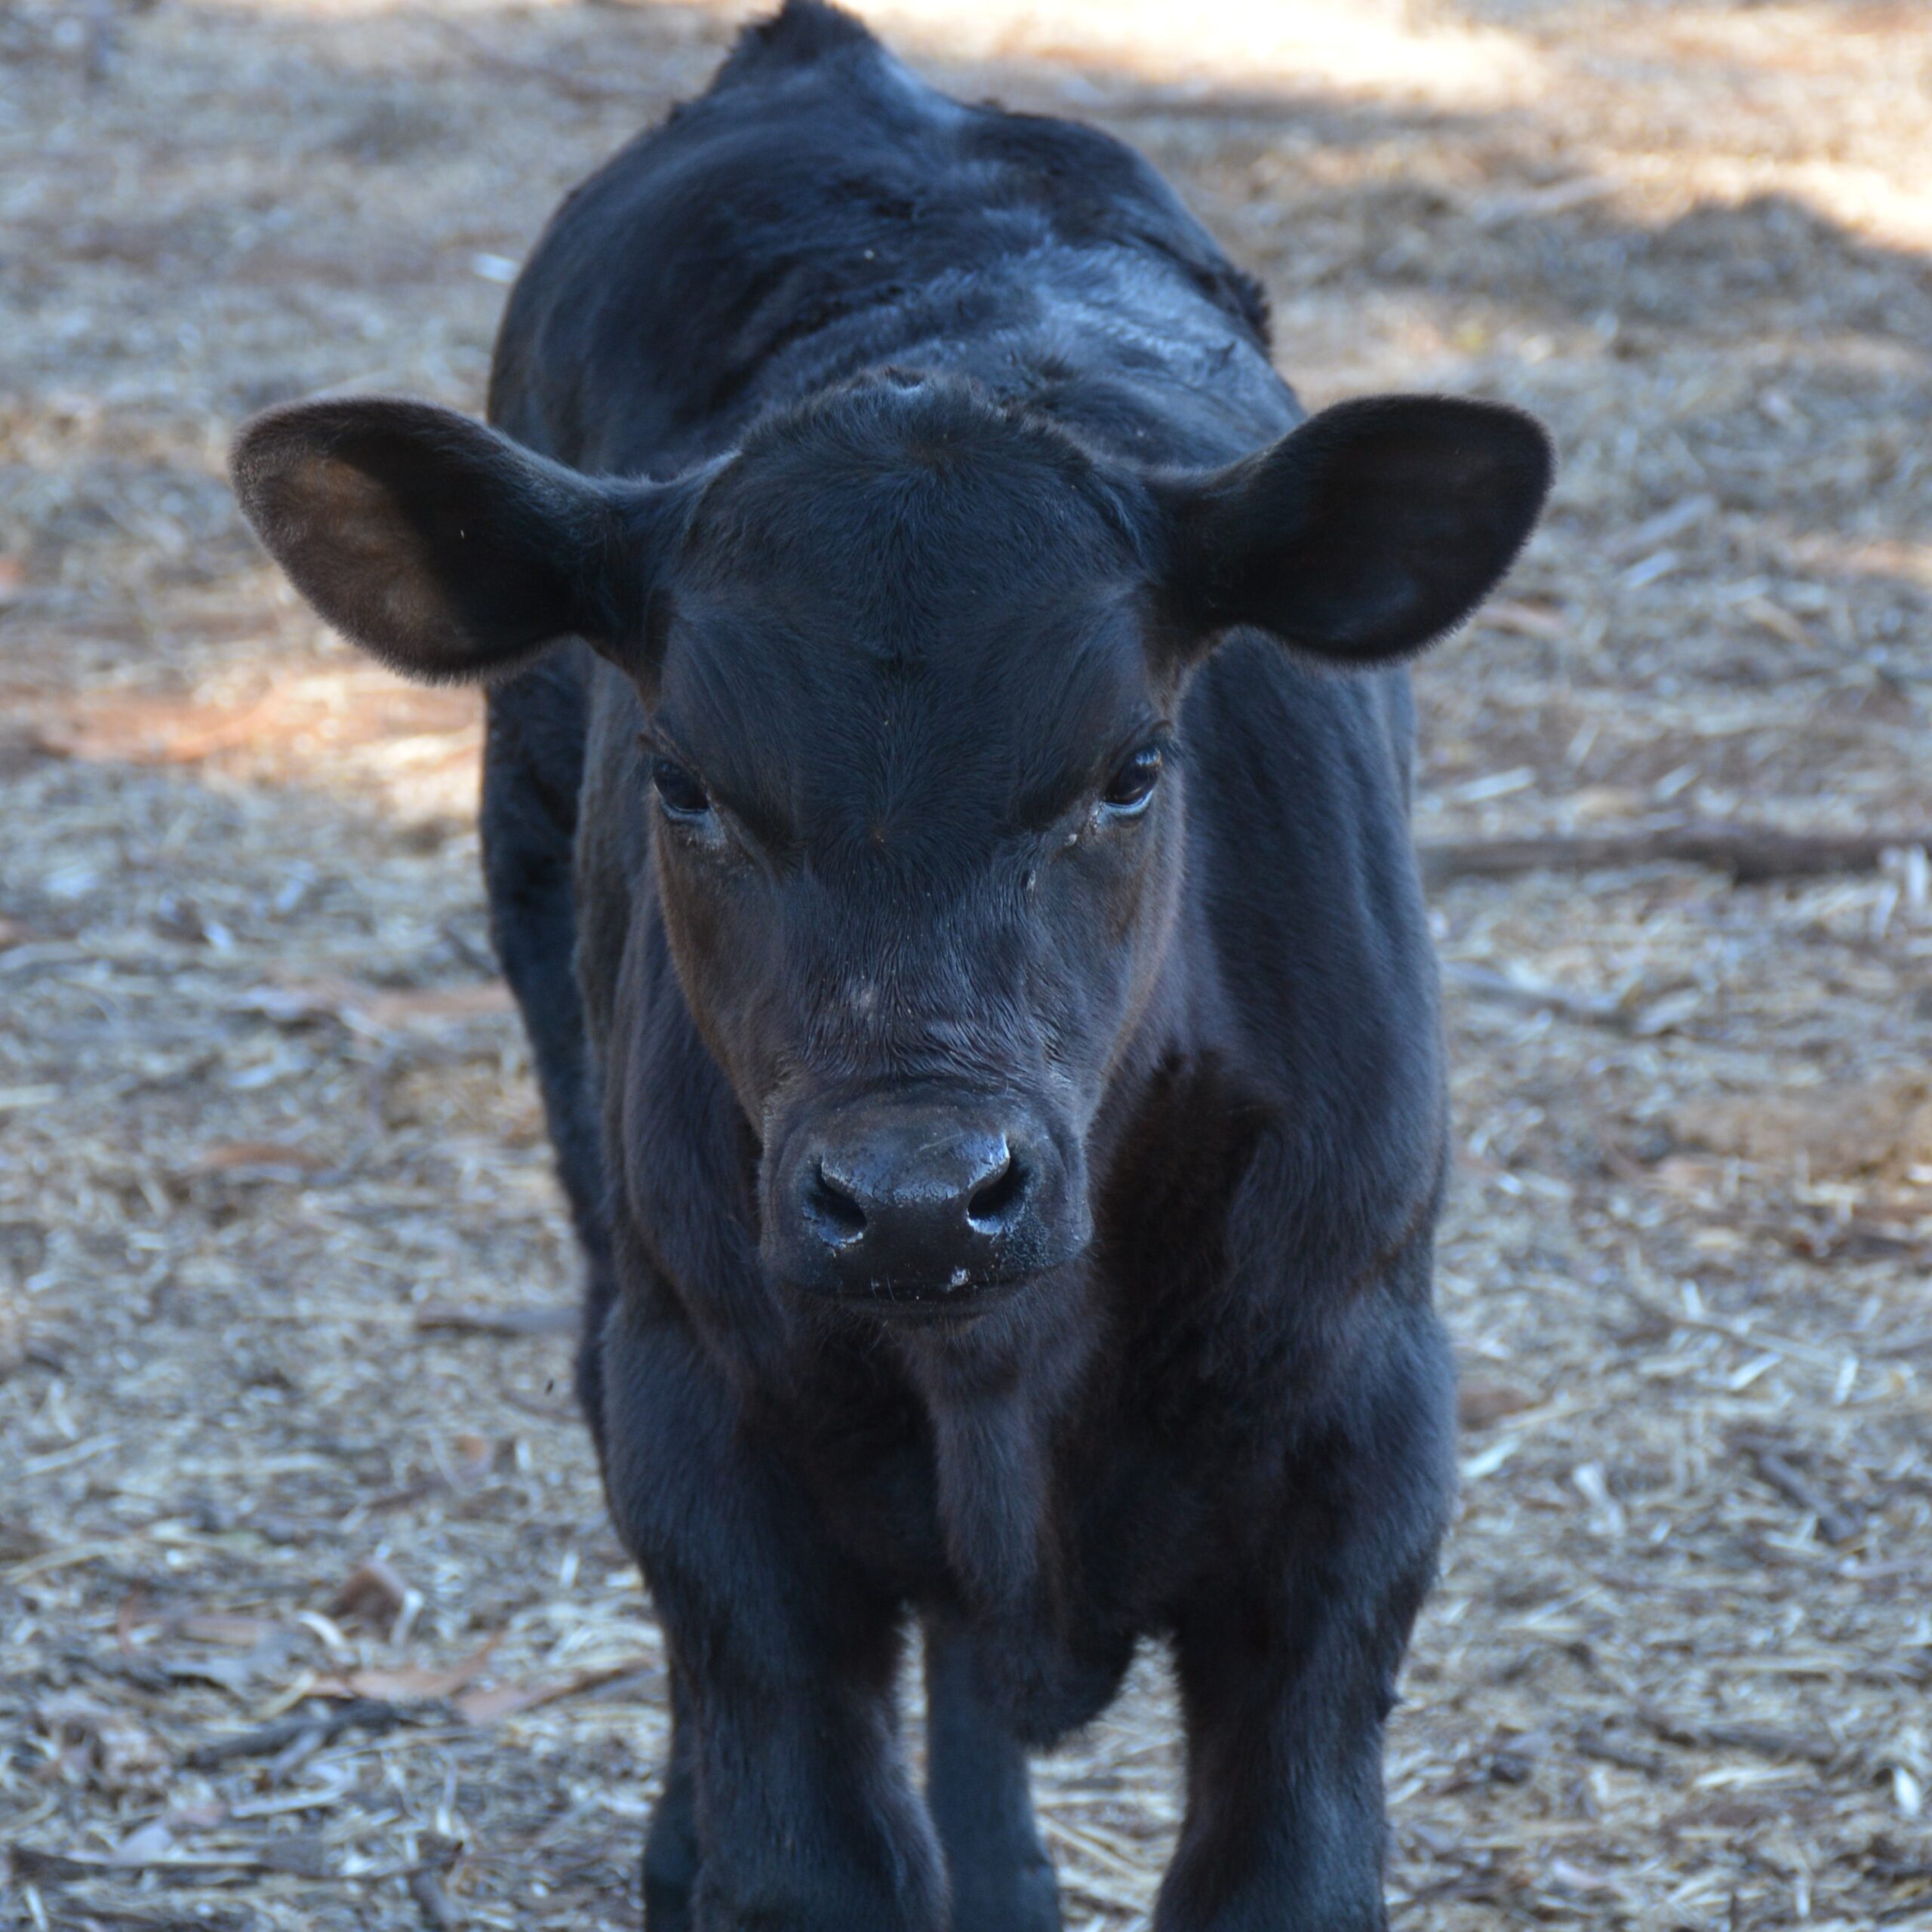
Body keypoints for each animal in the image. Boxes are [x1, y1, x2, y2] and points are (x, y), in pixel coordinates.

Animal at [230, 4, 1551, 1925]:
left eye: (1130, 766)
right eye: (682, 778)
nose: (921, 1192)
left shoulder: (1354, 1447)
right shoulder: (718, 1452)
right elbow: (804, 1841)